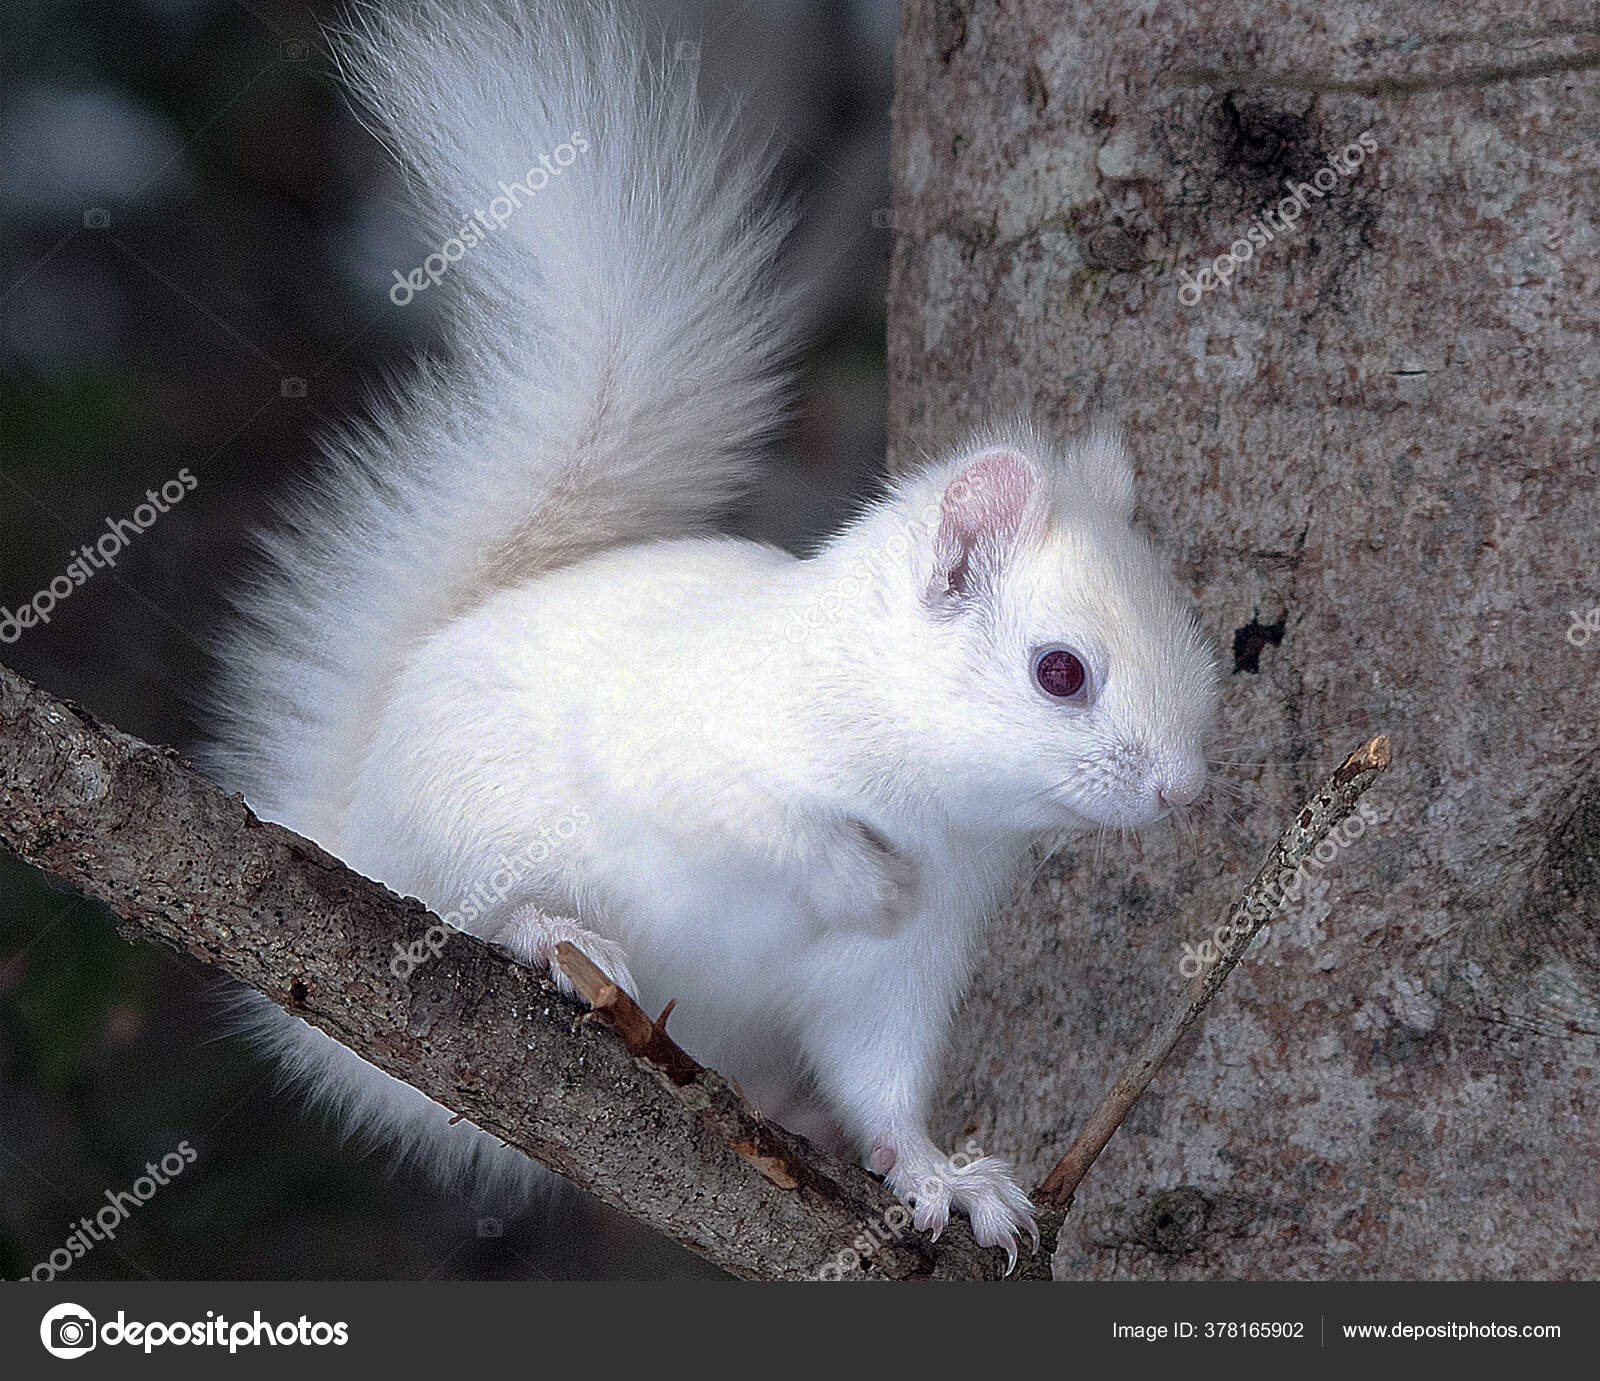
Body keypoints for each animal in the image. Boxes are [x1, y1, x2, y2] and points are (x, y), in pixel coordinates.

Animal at [203, 0, 1220, 1269]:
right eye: (1061, 672)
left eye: (1199, 647)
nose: (1184, 792)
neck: (931, 793)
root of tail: (352, 816)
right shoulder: (682, 743)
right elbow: (751, 816)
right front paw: (859, 873)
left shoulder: (897, 976)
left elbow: (886, 1086)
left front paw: (945, 1175)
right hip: (456, 834)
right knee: (463, 910)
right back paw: (553, 932)